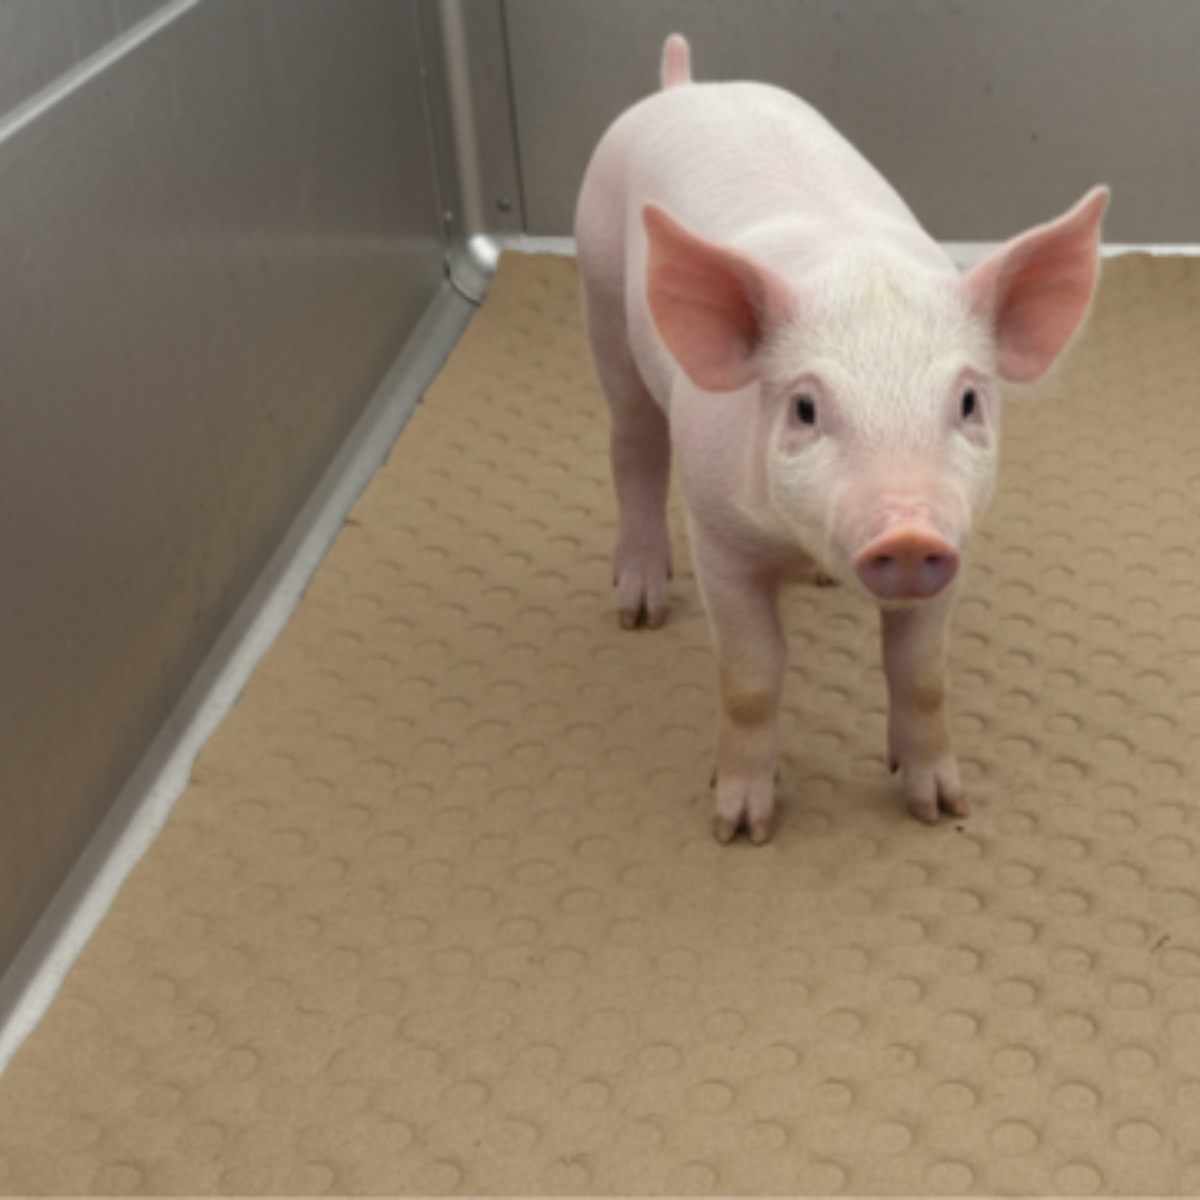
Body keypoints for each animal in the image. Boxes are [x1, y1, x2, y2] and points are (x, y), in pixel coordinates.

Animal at [574, 34, 1107, 844]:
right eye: (804, 408)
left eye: (968, 400)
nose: (910, 532)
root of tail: (686, 86)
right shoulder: (718, 535)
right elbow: (752, 677)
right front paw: (740, 829)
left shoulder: (958, 547)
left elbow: (922, 674)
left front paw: (941, 807)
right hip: (602, 296)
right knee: (632, 444)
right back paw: (639, 609)